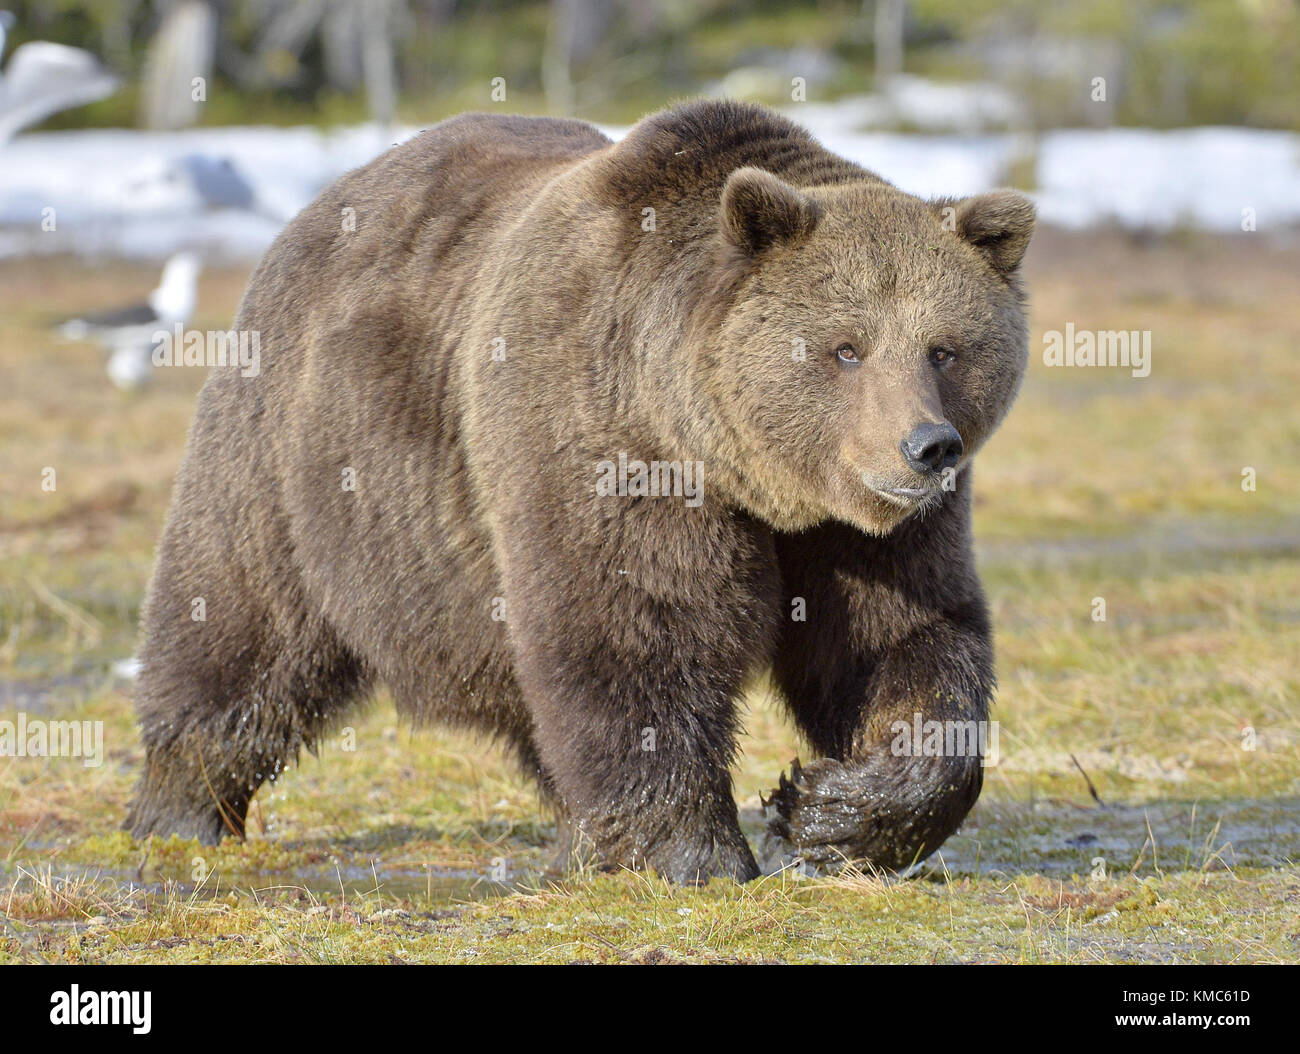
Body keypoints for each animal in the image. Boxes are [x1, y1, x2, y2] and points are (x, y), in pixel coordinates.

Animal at [125, 99, 1034, 884]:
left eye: (944, 348)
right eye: (846, 348)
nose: (926, 448)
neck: (741, 469)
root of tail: (319, 205)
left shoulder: (863, 534)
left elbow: (904, 640)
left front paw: (828, 813)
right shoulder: (603, 441)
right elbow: (631, 634)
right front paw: (700, 855)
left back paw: (576, 838)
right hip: (294, 460)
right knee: (240, 629)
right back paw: (178, 810)